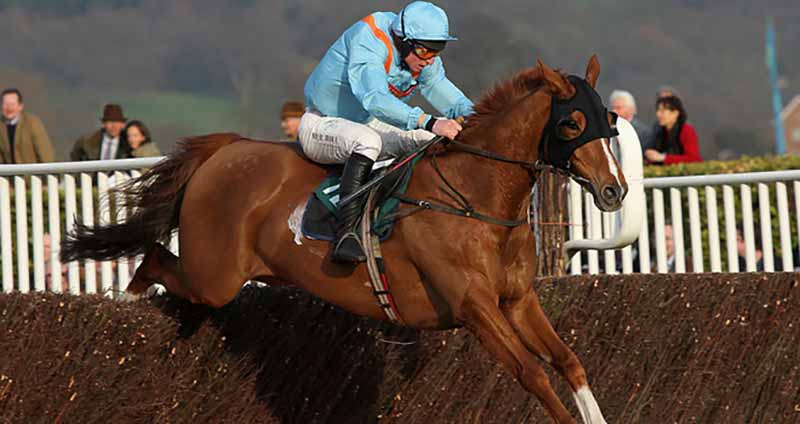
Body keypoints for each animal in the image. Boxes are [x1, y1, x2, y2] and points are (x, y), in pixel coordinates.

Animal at [63, 56, 630, 424]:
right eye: (572, 122)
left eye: (609, 119)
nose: (614, 190)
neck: (476, 197)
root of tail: (227, 148)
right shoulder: (474, 306)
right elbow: (534, 374)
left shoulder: (517, 300)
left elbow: (569, 362)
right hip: (214, 275)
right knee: (155, 259)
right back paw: (122, 304)